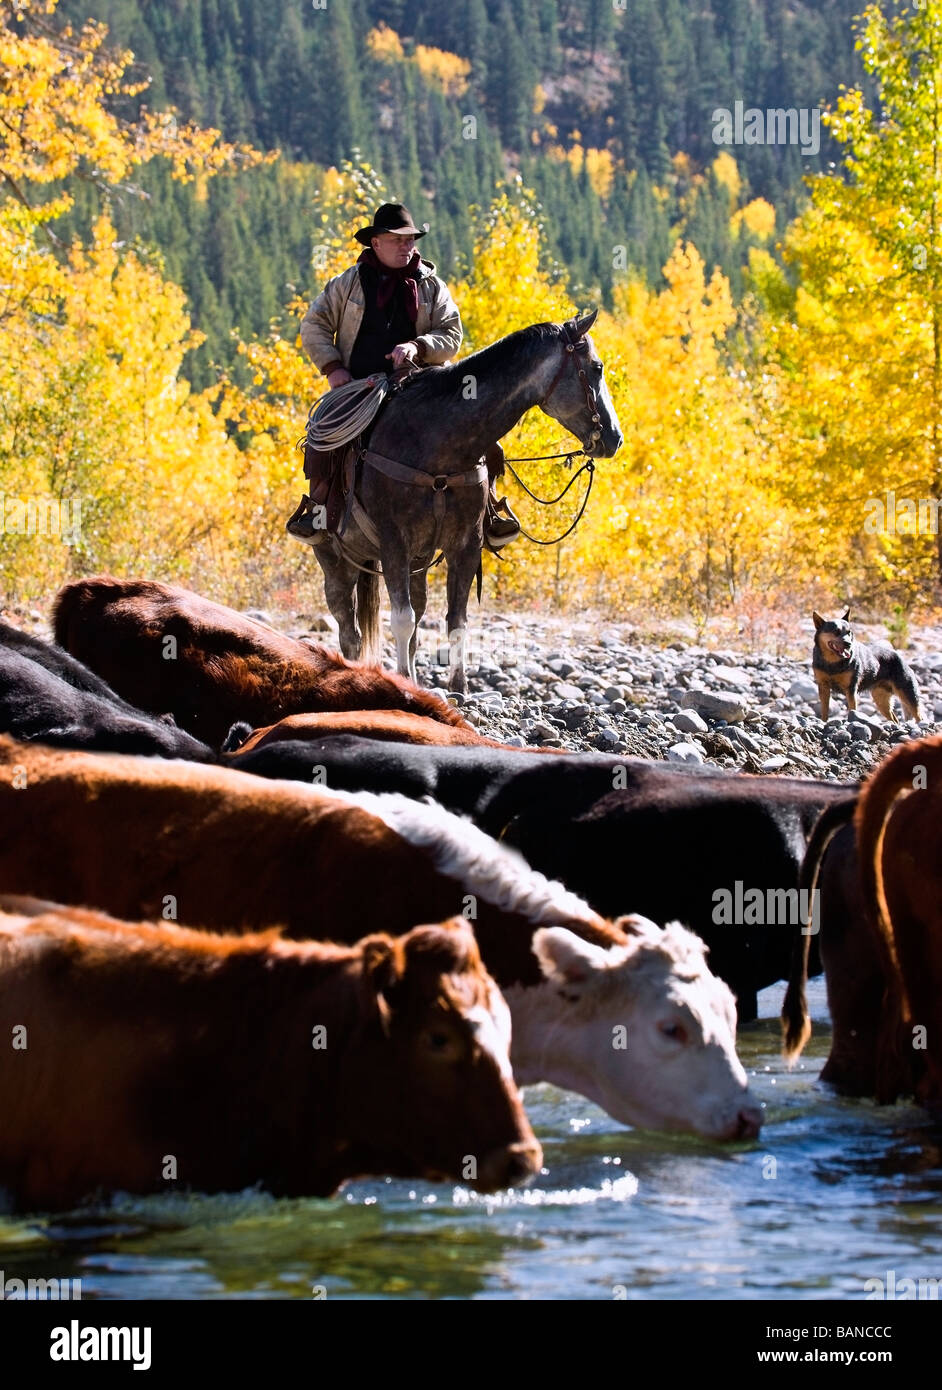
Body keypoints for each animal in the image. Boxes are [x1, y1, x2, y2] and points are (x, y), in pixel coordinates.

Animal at [309, 310, 623, 693]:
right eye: (596, 367)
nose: (614, 437)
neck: (436, 441)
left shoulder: (466, 544)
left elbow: (455, 620)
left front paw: (458, 688)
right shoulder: (393, 542)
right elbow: (401, 619)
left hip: (417, 561)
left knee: (415, 615)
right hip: (336, 560)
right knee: (349, 629)